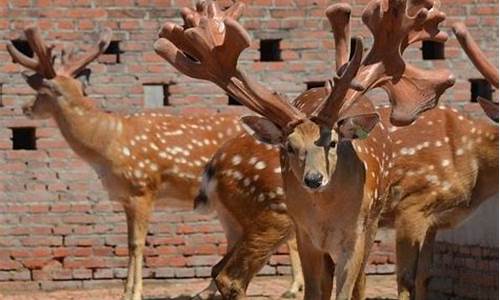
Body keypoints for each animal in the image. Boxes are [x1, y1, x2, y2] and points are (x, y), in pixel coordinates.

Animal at [5, 25, 244, 300]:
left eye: (42, 92)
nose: (25, 108)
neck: (108, 143)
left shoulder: (143, 188)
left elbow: (137, 244)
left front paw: (136, 292)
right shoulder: (125, 198)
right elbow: (128, 243)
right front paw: (125, 292)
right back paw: (209, 291)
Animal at [154, 0, 466, 298]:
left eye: (332, 142)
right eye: (289, 146)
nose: (314, 179)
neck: (326, 217)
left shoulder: (356, 235)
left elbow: (346, 290)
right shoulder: (305, 235)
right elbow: (315, 290)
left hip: (365, 219)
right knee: (228, 273)